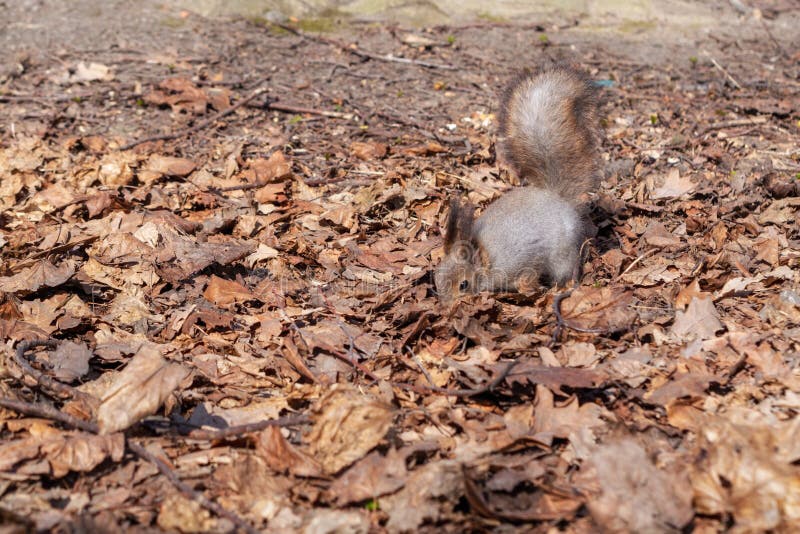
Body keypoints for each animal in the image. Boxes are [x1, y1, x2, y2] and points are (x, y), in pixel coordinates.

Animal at [434, 65, 600, 300]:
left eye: (464, 285)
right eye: (436, 278)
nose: (445, 308)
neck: (485, 257)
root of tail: (557, 198)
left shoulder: (520, 261)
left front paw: (531, 287)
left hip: (564, 252)